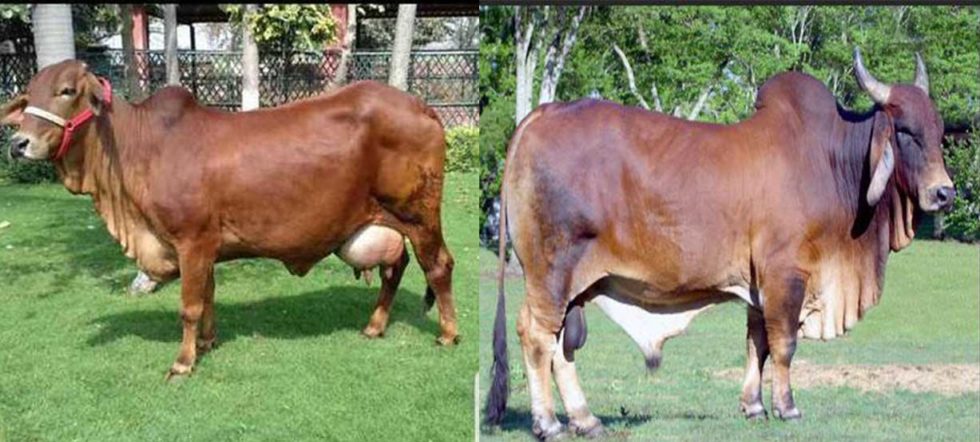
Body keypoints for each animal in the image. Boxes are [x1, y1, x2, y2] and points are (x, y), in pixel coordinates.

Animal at [1, 60, 458, 380]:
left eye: (67, 91)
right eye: (27, 94)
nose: (18, 143)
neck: (139, 147)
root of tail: (422, 106)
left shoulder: (192, 240)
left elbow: (189, 305)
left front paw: (183, 362)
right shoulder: (205, 247)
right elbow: (208, 295)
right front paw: (206, 342)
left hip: (419, 215)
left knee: (438, 265)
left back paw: (449, 333)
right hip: (384, 220)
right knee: (394, 266)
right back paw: (375, 326)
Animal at [485, 48, 955, 440]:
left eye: (939, 131)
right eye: (906, 132)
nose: (944, 193)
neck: (833, 163)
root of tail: (541, 114)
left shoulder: (758, 286)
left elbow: (757, 343)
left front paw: (754, 407)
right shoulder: (786, 274)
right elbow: (784, 344)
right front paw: (787, 408)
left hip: (574, 283)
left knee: (562, 347)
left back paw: (585, 419)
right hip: (551, 272)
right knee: (537, 335)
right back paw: (549, 423)